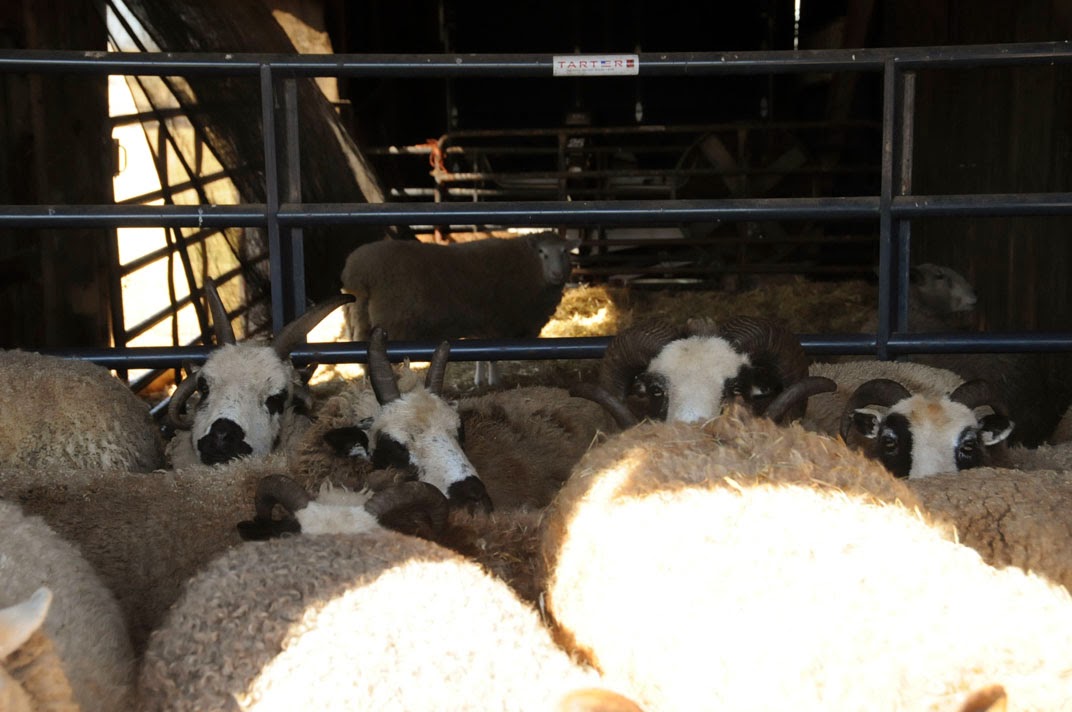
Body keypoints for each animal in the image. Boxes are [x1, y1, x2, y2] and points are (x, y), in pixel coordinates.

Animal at [340, 231, 574, 387]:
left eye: (565, 252)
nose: (557, 274)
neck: (528, 268)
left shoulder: (483, 326)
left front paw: (480, 381)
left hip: (358, 319)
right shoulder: (497, 322)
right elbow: (493, 357)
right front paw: (494, 382)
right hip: (392, 325)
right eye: (542, 252)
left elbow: (482, 356)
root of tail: (359, 271)